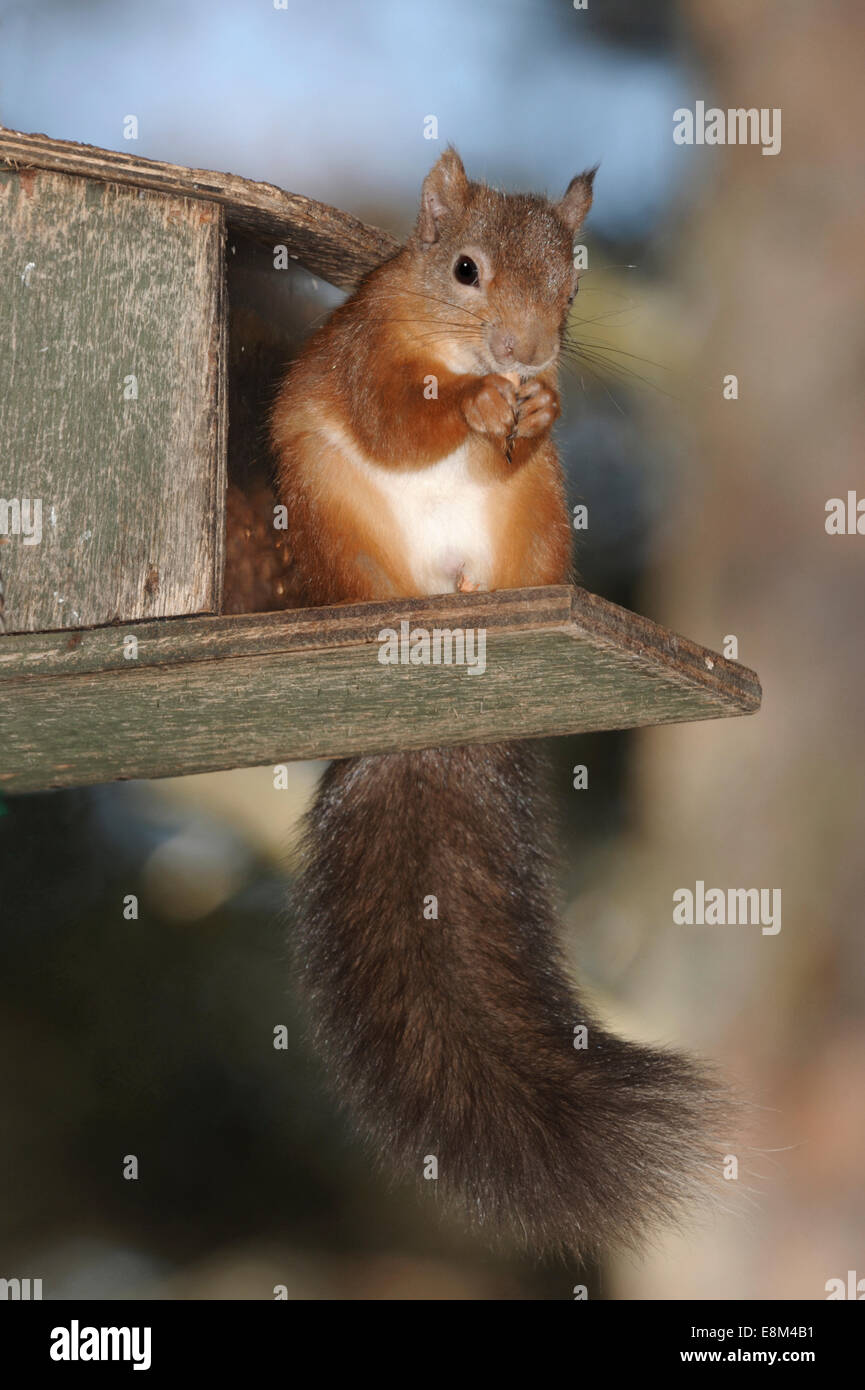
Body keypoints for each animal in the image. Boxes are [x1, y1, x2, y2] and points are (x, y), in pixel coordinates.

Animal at [270, 149, 725, 1258]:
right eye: (465, 269)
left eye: (571, 282)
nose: (526, 355)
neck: (451, 340)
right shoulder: (363, 355)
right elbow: (398, 418)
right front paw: (474, 404)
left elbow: (515, 436)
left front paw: (530, 410)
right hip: (330, 521)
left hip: (539, 520)